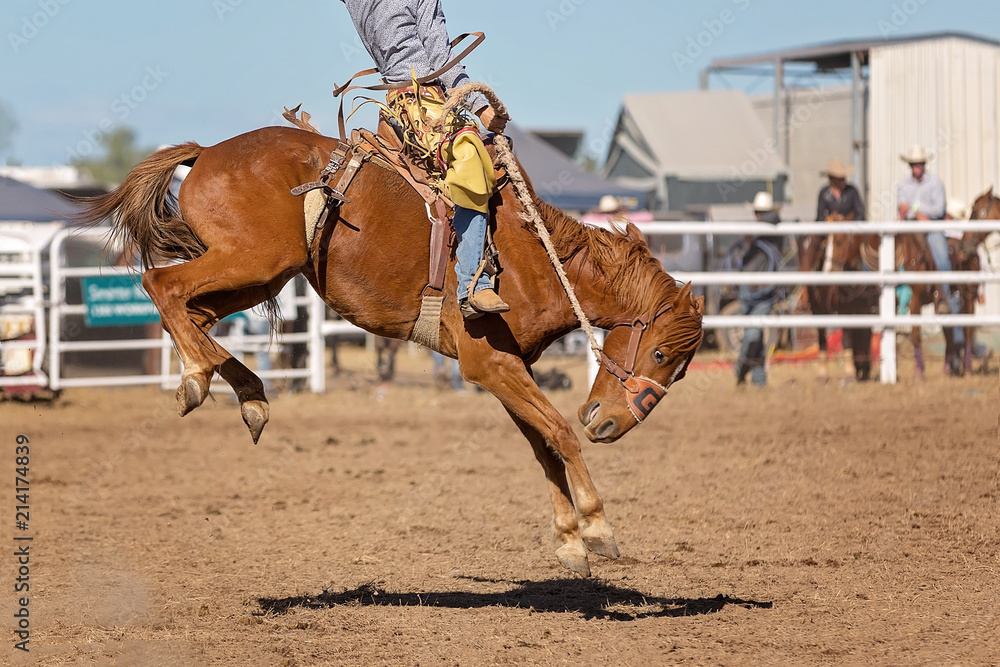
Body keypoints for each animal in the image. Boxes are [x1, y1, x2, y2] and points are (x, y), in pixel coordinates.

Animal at [75, 125, 705, 578]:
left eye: (675, 369)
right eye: (660, 357)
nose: (608, 422)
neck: (536, 262)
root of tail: (207, 153)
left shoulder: (511, 369)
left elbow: (545, 446)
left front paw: (570, 542)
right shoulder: (489, 364)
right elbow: (560, 435)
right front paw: (598, 530)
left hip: (261, 274)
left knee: (195, 313)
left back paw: (245, 393)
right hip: (252, 260)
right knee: (162, 286)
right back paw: (197, 377)